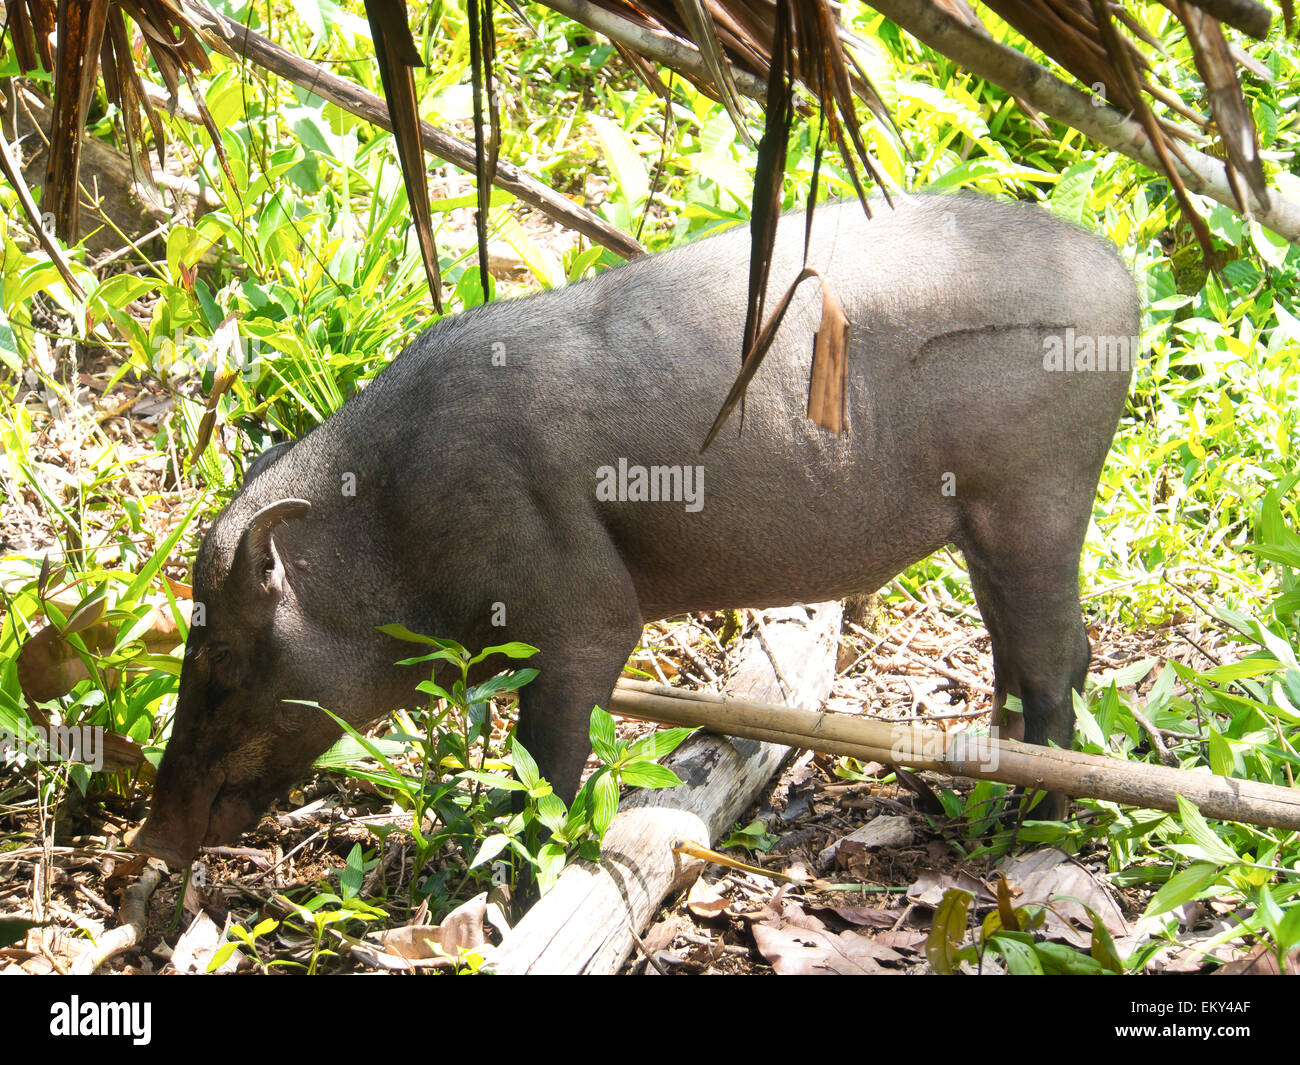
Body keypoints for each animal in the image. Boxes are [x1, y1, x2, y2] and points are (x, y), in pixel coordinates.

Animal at [133, 194, 1139, 867]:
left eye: (219, 655)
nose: (146, 840)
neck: (388, 529)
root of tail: (1123, 278)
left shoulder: (583, 616)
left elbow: (547, 767)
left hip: (1039, 498)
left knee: (1059, 663)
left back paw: (1028, 838)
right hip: (992, 527)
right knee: (1032, 659)